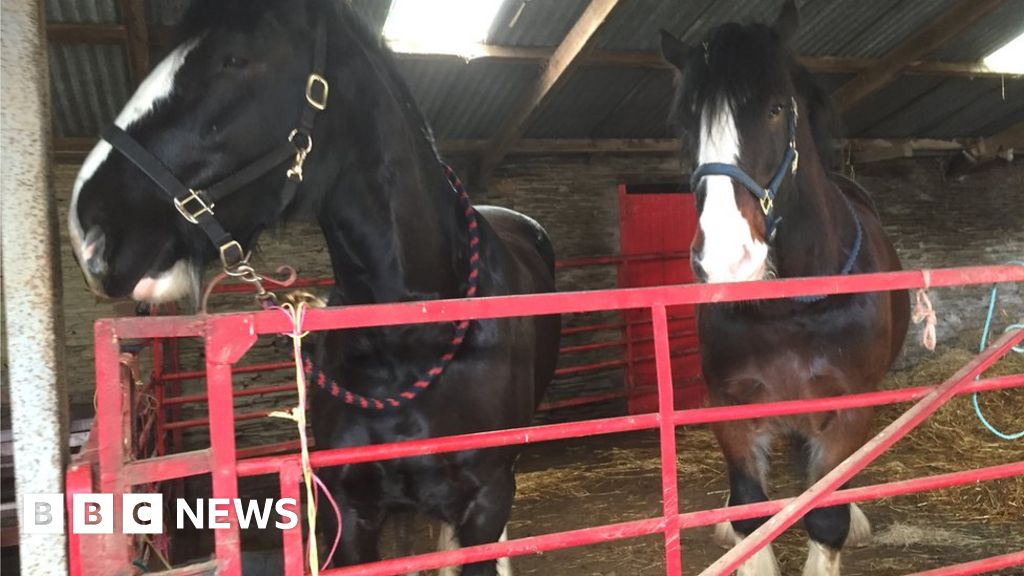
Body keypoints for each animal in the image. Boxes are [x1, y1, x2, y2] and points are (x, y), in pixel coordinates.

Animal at [660, 2, 910, 575]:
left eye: (776, 109)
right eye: (686, 125)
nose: (728, 261)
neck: (788, 311)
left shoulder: (848, 410)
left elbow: (826, 517)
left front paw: (842, 520)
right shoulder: (731, 408)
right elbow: (752, 514)